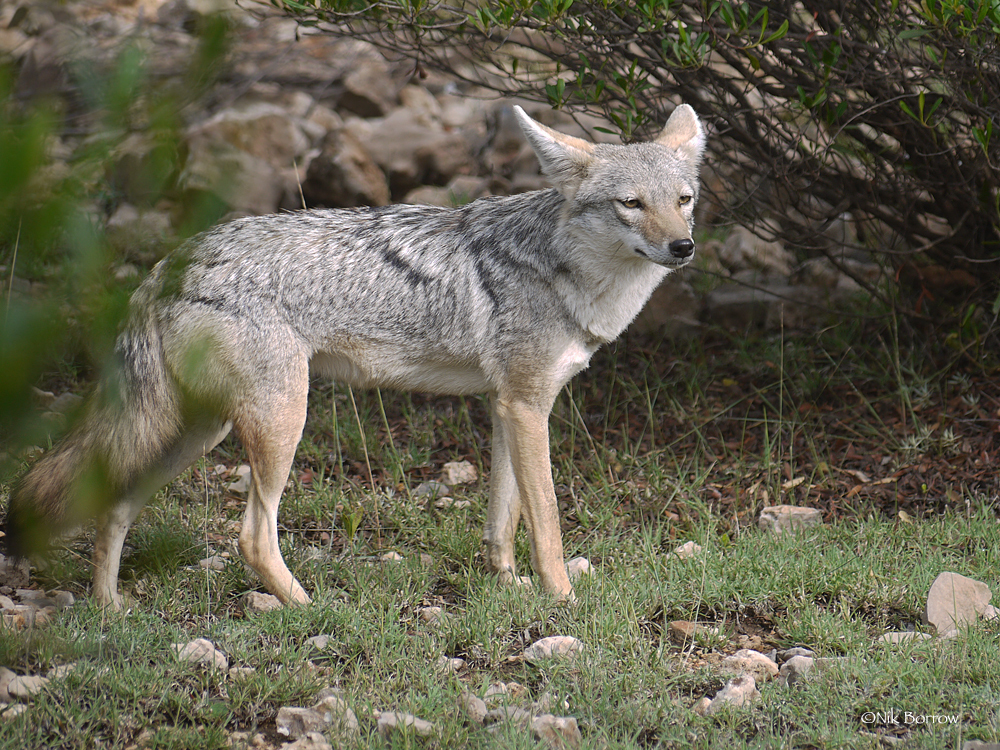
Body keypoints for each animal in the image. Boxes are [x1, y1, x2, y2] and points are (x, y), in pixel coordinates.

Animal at [4, 104, 705, 609]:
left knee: (113, 504)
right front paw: (563, 602)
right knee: (251, 537)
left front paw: (508, 589)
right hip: (278, 424)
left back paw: (109, 614)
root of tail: (171, 261)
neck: (567, 273)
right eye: (631, 203)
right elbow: (550, 526)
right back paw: (310, 608)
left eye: (684, 200)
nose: (684, 248)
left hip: (199, 432)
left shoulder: (509, 406)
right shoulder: (527, 407)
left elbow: (503, 522)